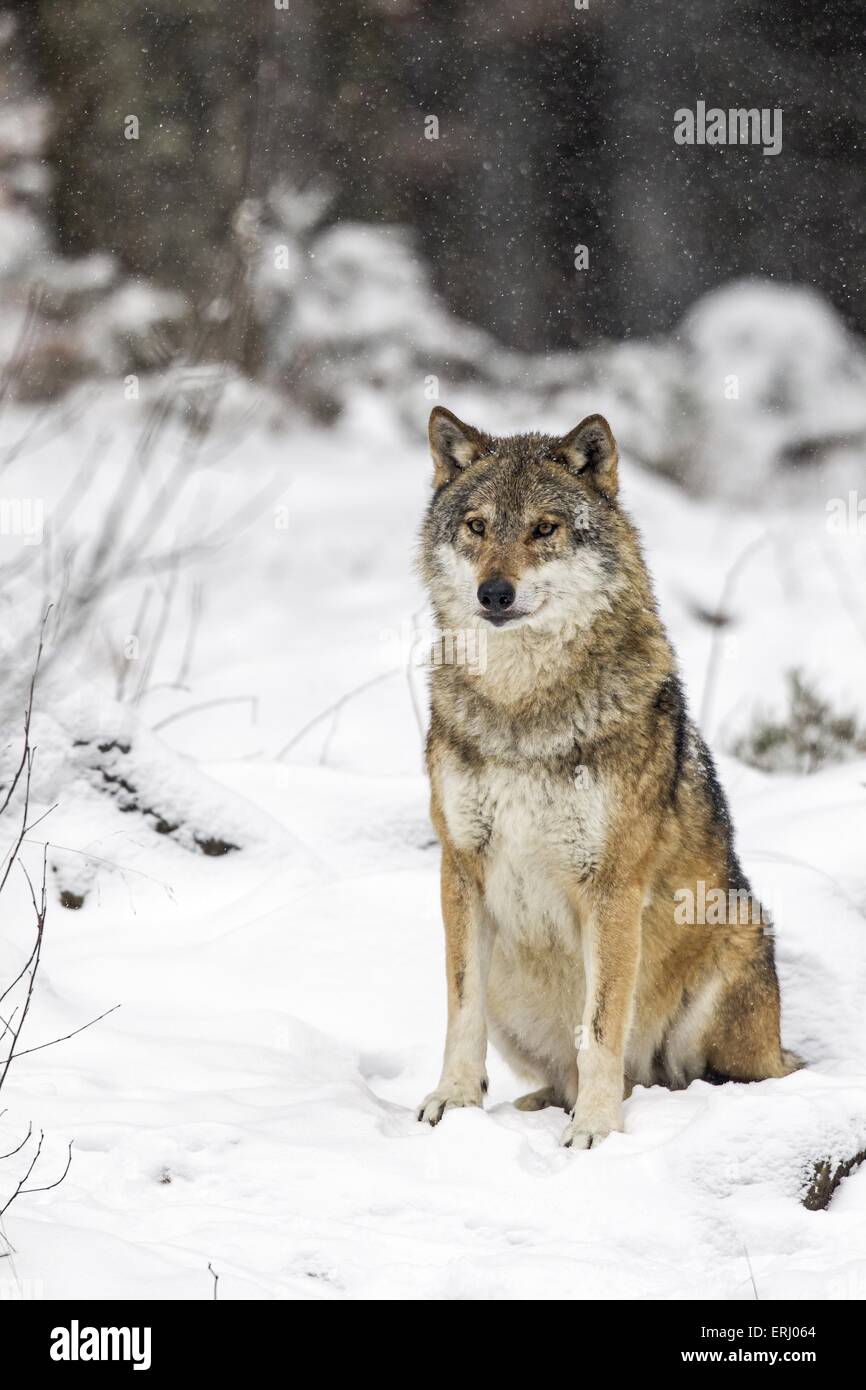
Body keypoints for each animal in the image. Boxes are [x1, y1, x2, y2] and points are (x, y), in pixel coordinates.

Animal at [416, 407, 801, 1149]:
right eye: (477, 525)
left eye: (544, 529)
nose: (493, 592)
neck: (522, 707)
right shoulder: (460, 865)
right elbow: (458, 1006)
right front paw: (452, 1101)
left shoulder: (612, 885)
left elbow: (600, 1027)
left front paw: (595, 1130)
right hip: (513, 990)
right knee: (559, 1074)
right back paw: (536, 1104)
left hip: (730, 959)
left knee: (703, 1077)